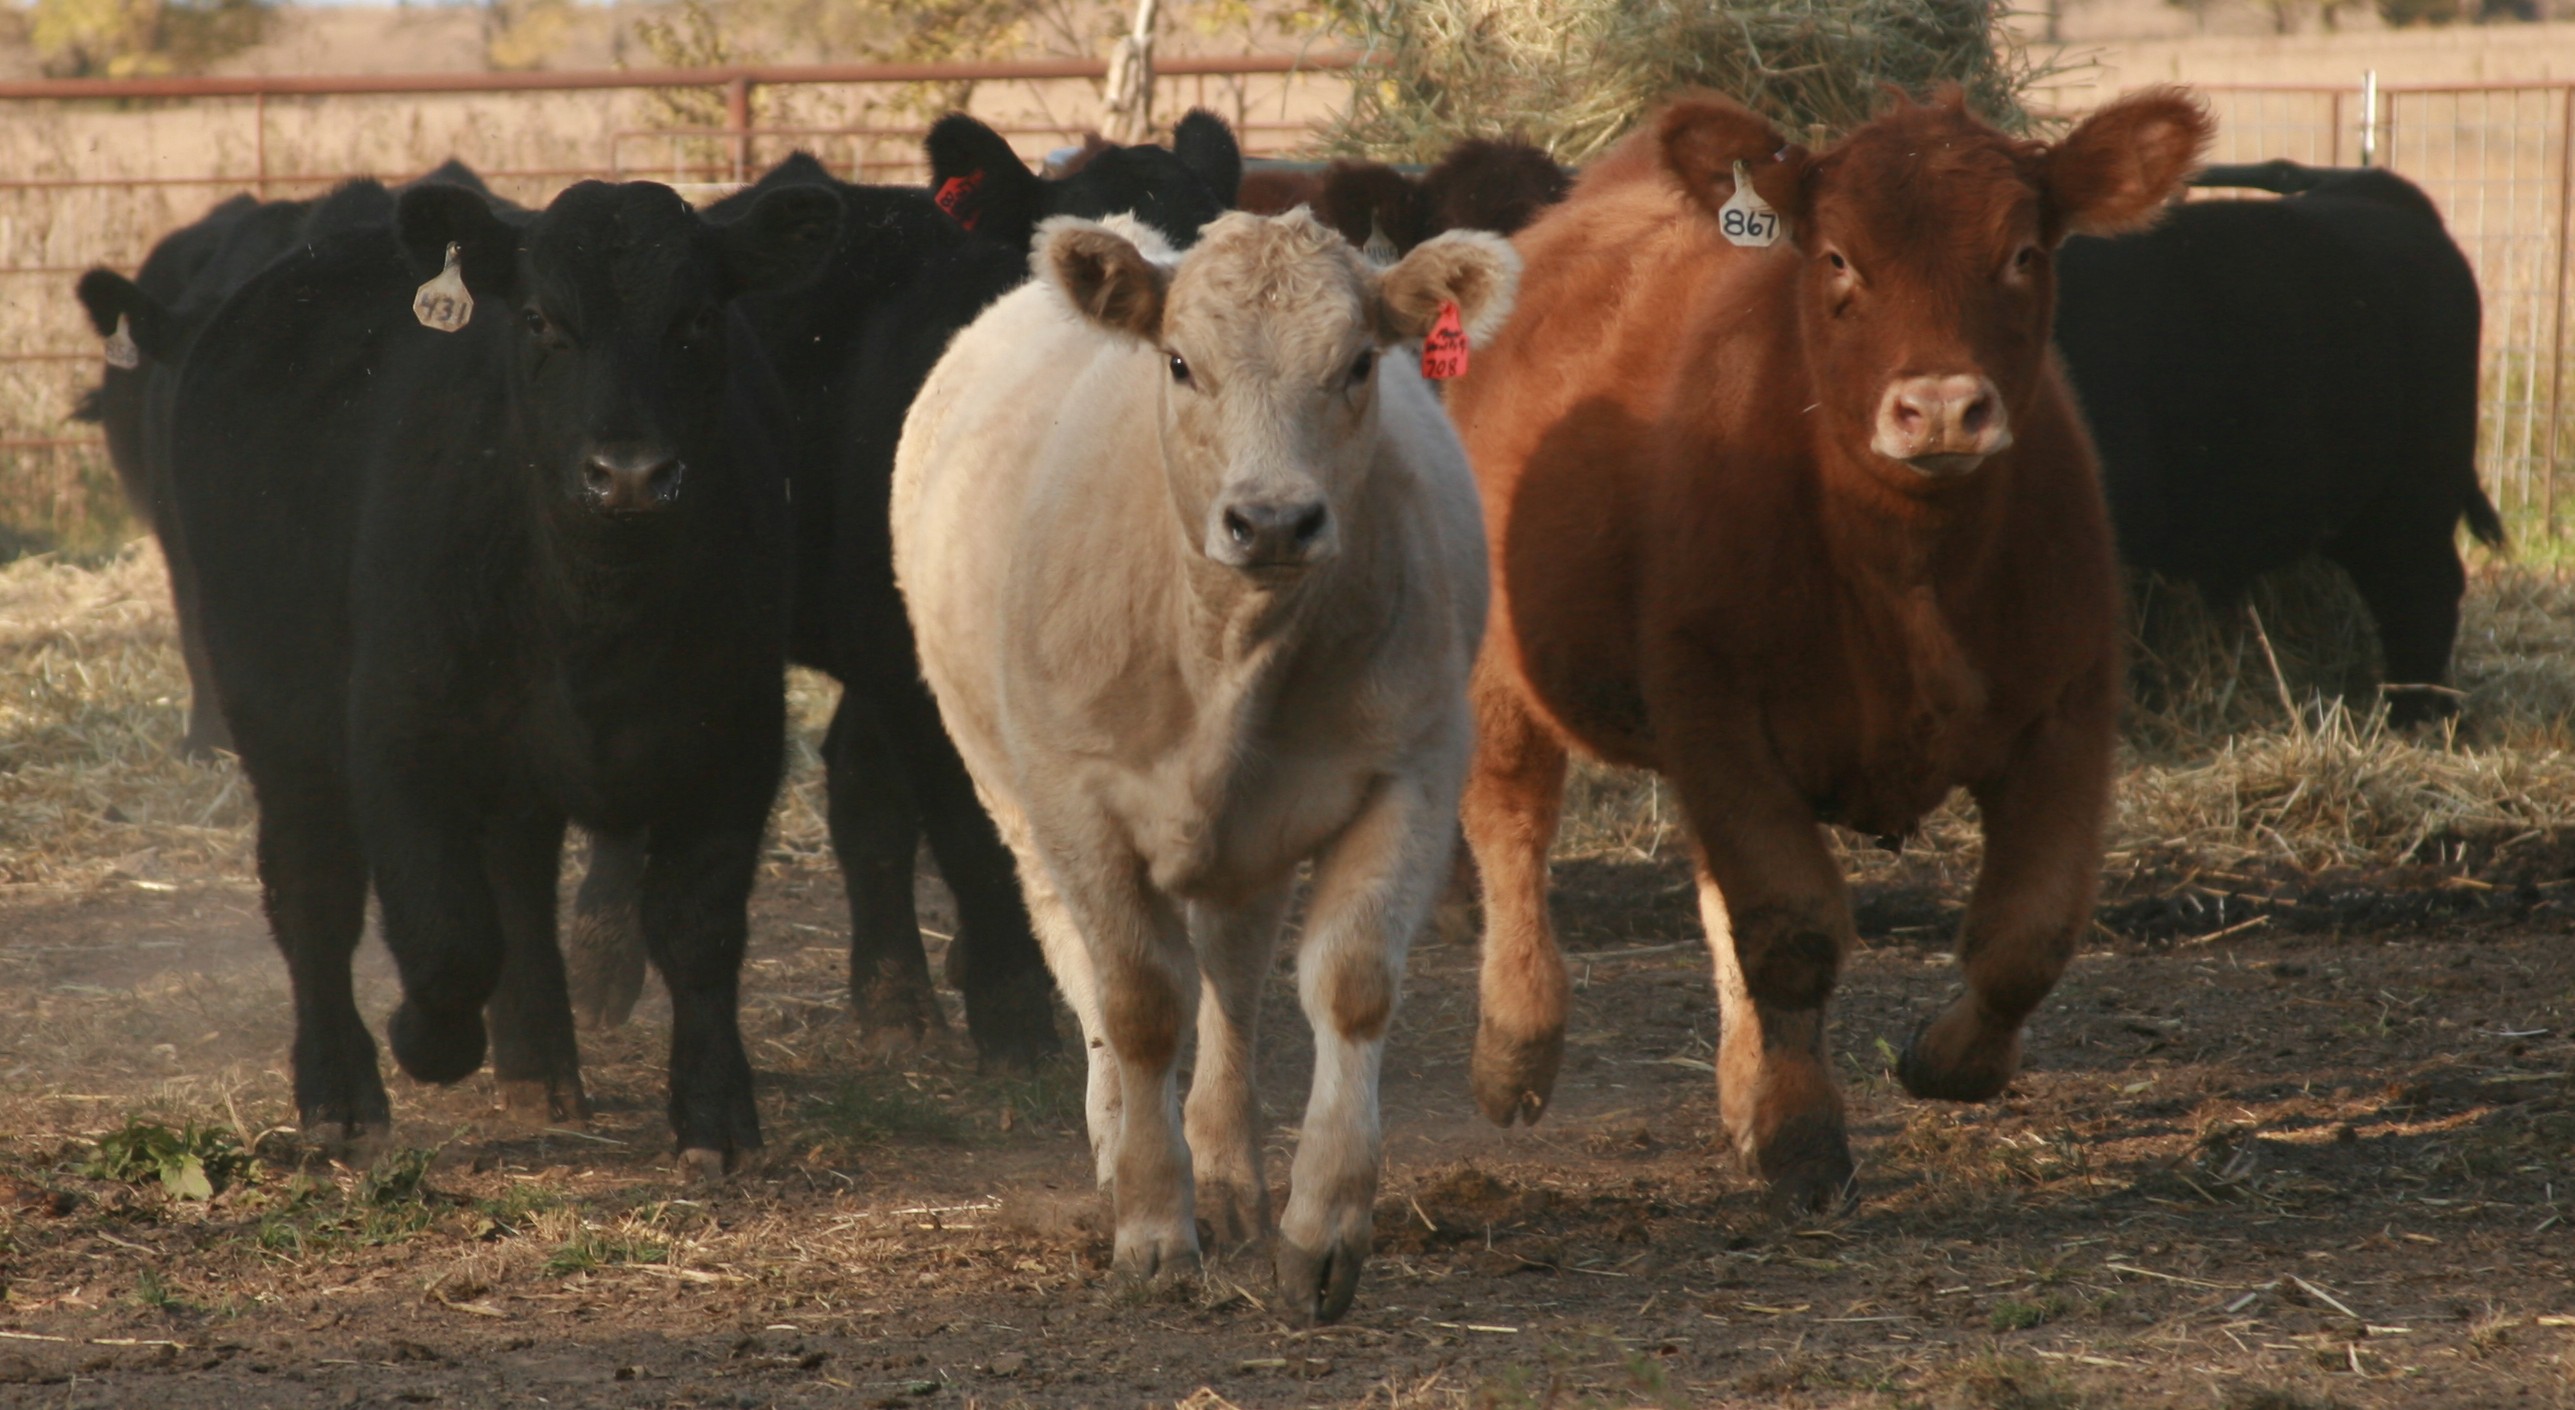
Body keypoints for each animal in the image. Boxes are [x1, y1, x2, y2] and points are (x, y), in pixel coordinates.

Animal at [168, 178, 839, 1172]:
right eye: (539, 320)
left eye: (699, 319)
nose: (628, 474)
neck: (595, 611)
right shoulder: (400, 737)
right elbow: (445, 935)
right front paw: (423, 1039)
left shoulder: (734, 737)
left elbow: (699, 929)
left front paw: (715, 1113)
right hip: (275, 712)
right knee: (314, 890)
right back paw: (340, 1093)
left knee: (516, 881)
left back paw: (538, 1063)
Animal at [892, 209, 1516, 1320]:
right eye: (1180, 363)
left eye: (1359, 362)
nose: (1271, 519)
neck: (1228, 650)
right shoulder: (1076, 794)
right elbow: (1139, 1003)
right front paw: (1150, 1224)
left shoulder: (1410, 770)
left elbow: (1350, 985)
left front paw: (1320, 1231)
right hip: (1016, 799)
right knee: (1087, 964)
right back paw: (1121, 1152)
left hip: (1253, 837)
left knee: (1231, 970)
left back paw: (1225, 1173)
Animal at [1447, 89, 2211, 1217]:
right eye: (1840, 258)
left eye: (2023, 252)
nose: (1939, 407)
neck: (1905, 567)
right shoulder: (1716, 707)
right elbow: (1790, 931)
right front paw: (1803, 1135)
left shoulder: (2069, 710)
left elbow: (2026, 935)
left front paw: (1942, 1063)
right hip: (1499, 674)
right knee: (1510, 824)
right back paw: (1516, 1047)